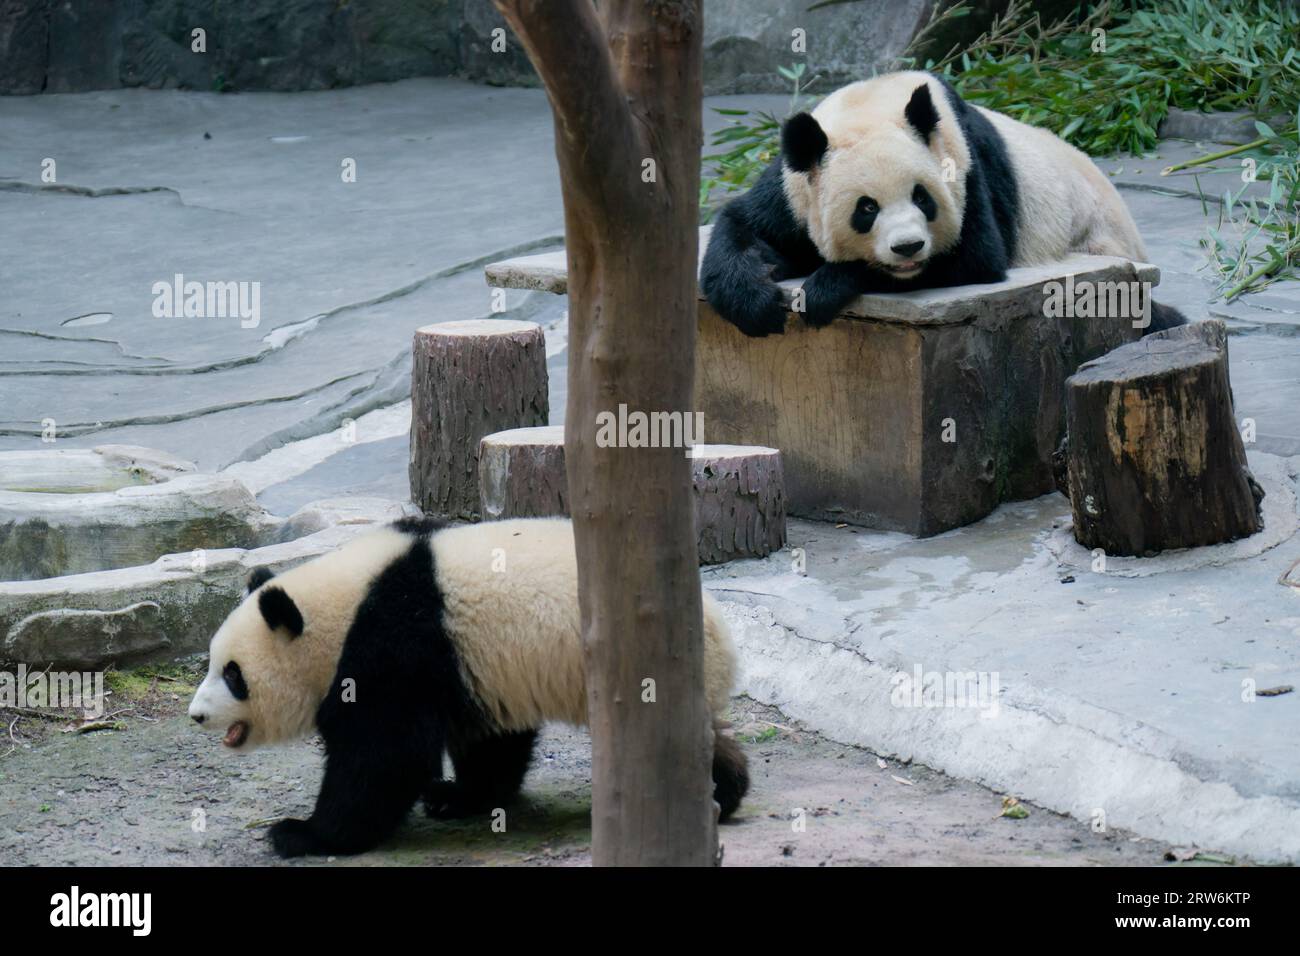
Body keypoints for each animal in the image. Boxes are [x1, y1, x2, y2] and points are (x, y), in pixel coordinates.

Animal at [187, 515, 748, 858]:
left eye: (233, 674)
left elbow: (384, 755)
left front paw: (303, 832)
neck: (343, 605)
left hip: (639, 669)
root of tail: (720, 628)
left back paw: (714, 793)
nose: (197, 715)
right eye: (212, 664)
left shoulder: (396, 644)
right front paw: (458, 797)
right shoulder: (471, 669)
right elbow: (488, 743)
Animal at [701, 70, 1187, 336]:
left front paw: (824, 288)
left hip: (1100, 241)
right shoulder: (795, 187)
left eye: (922, 197)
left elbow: (976, 257)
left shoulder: (967, 169)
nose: (908, 248)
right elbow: (745, 224)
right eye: (866, 208)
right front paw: (754, 300)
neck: (875, 102)